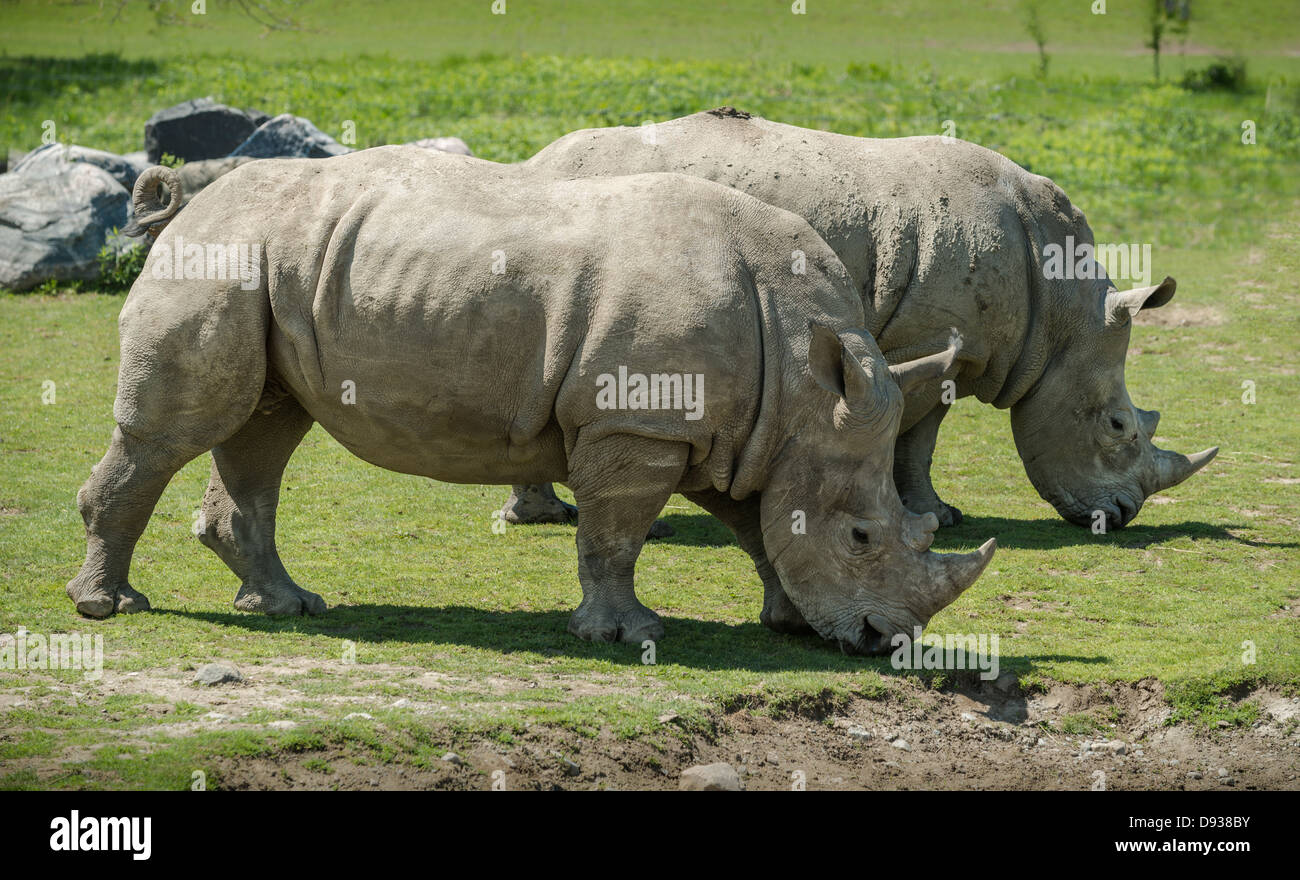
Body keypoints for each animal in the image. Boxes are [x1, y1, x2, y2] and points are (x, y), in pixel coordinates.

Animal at [66, 149, 996, 652]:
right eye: (863, 536)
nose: (883, 641)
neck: (807, 382)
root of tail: (195, 203)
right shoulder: (640, 424)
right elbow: (616, 534)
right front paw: (628, 634)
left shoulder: (735, 432)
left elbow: (755, 524)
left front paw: (791, 620)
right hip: (222, 259)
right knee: (174, 435)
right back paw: (108, 607)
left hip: (267, 263)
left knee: (264, 427)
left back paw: (289, 607)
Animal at [500, 108, 1218, 531]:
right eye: (1119, 426)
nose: (1120, 516)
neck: (1061, 318)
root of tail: (532, 164)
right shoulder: (935, 339)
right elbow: (918, 435)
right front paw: (933, 515)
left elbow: (919, 435)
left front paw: (938, 514)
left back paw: (550, 515)